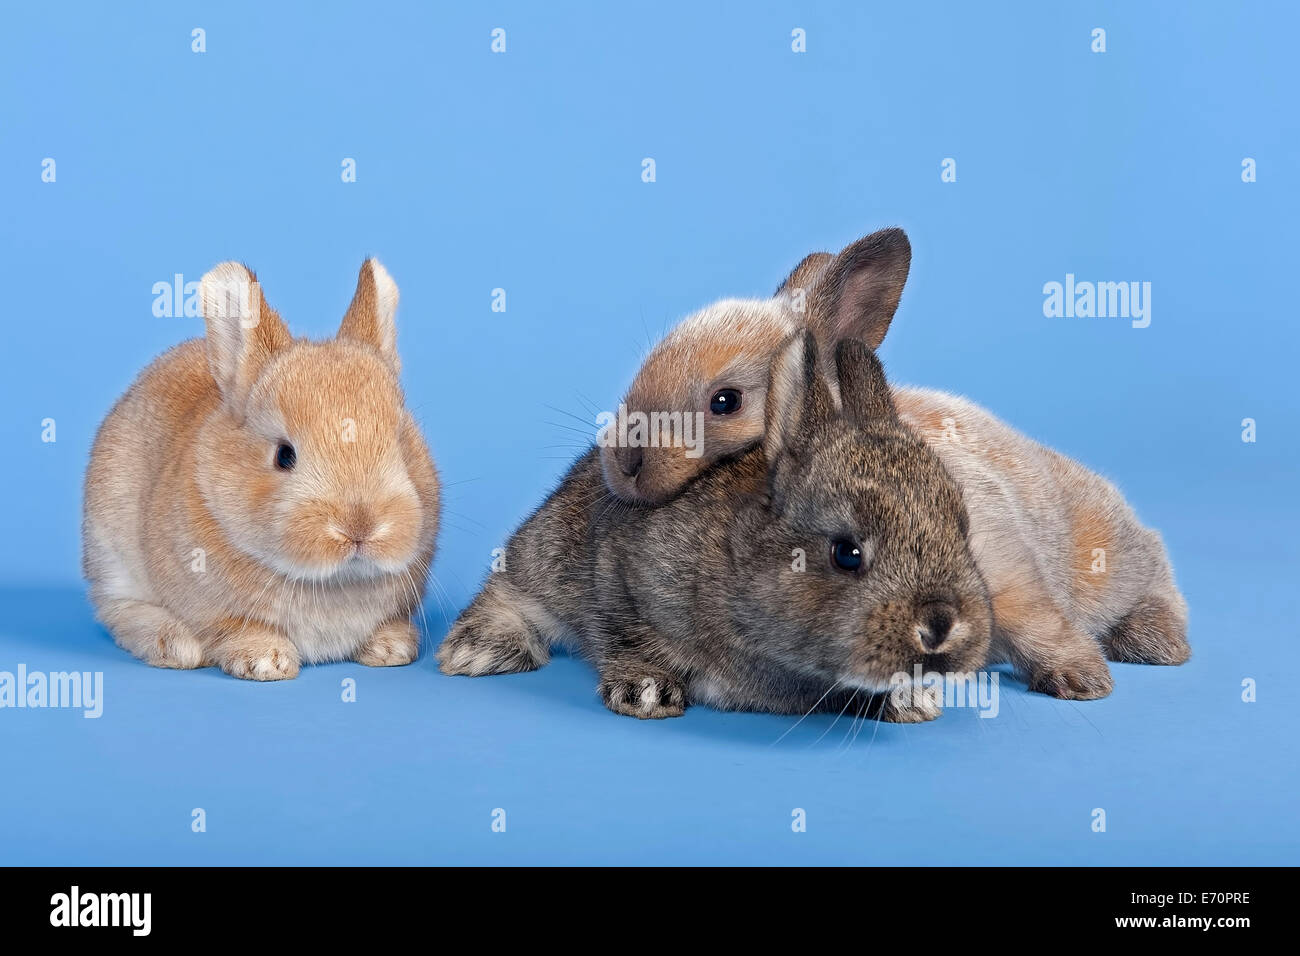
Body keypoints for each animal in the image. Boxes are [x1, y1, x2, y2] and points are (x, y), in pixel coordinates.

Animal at [83, 259, 440, 680]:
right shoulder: (217, 610)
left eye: (401, 442)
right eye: (284, 455)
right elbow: (237, 628)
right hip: (110, 553)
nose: (359, 527)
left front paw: (392, 648)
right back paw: (173, 645)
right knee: (117, 611)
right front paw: (266, 662)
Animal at [438, 331, 993, 721]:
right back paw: (477, 651)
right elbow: (622, 631)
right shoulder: (620, 574)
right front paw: (646, 692)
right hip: (544, 553)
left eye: (962, 529)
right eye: (846, 553)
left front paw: (909, 701)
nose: (941, 625)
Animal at [594, 227, 1189, 700]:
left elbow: (1038, 620)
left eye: (725, 401)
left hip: (1113, 558)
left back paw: (1158, 643)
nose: (621, 461)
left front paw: (1084, 680)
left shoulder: (1005, 563)